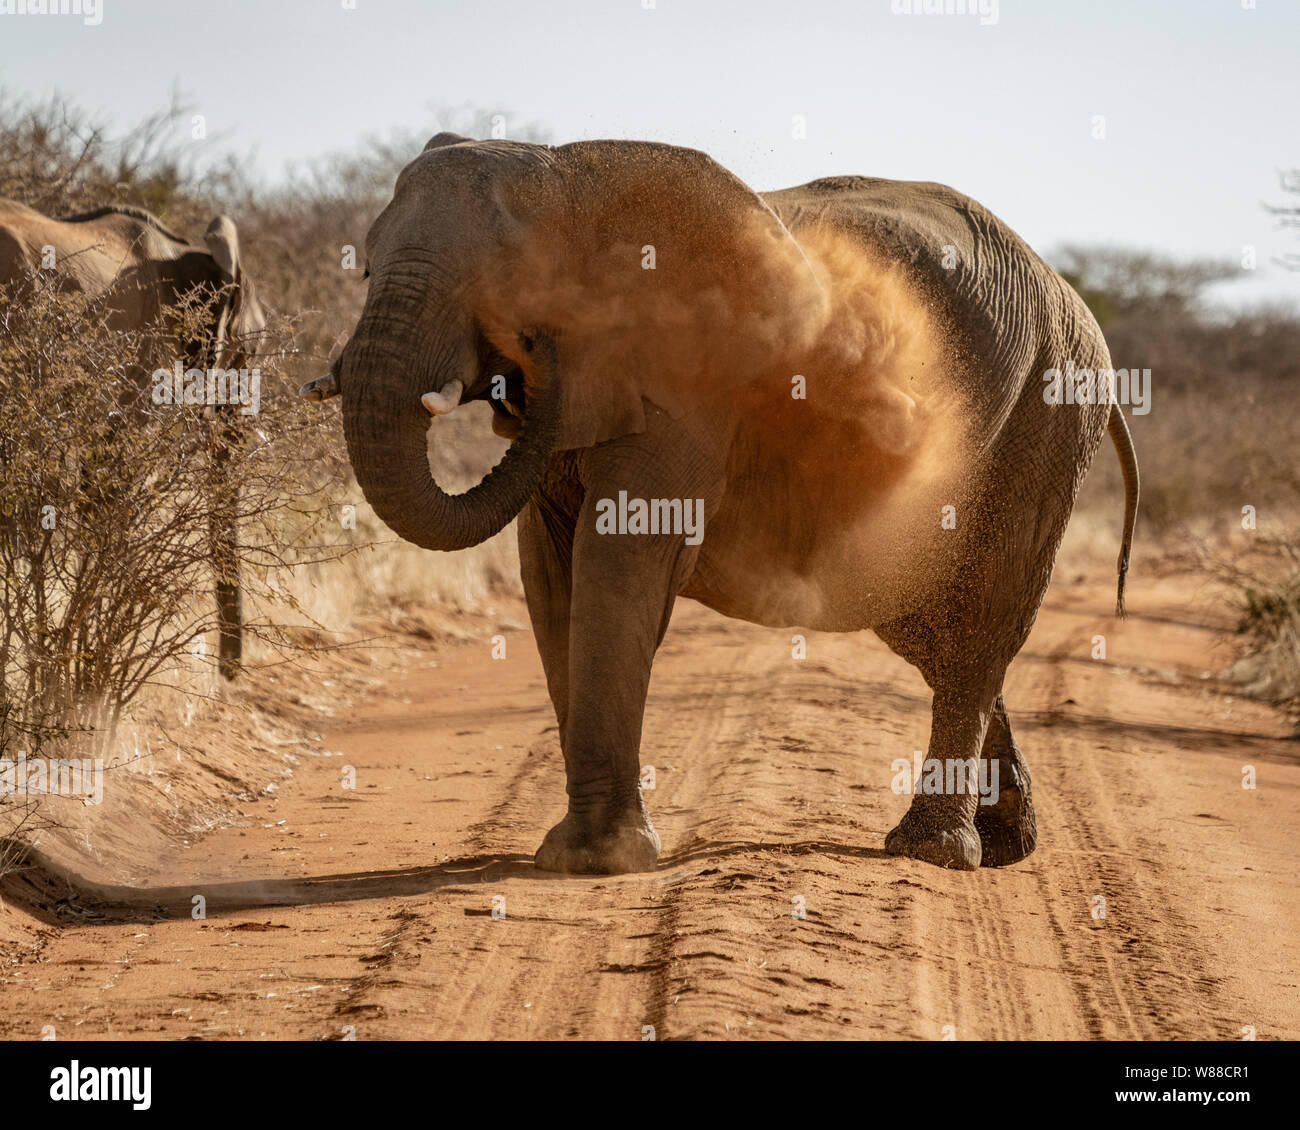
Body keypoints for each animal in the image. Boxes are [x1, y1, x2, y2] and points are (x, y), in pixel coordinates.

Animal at [305, 132, 1139, 874]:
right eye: (367, 264)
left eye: (504, 284)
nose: (530, 355)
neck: (571, 173)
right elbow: (549, 579)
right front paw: (579, 852)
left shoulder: (688, 385)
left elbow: (617, 560)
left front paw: (595, 861)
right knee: (927, 624)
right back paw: (1006, 843)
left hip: (1047, 417)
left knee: (977, 622)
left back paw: (934, 852)